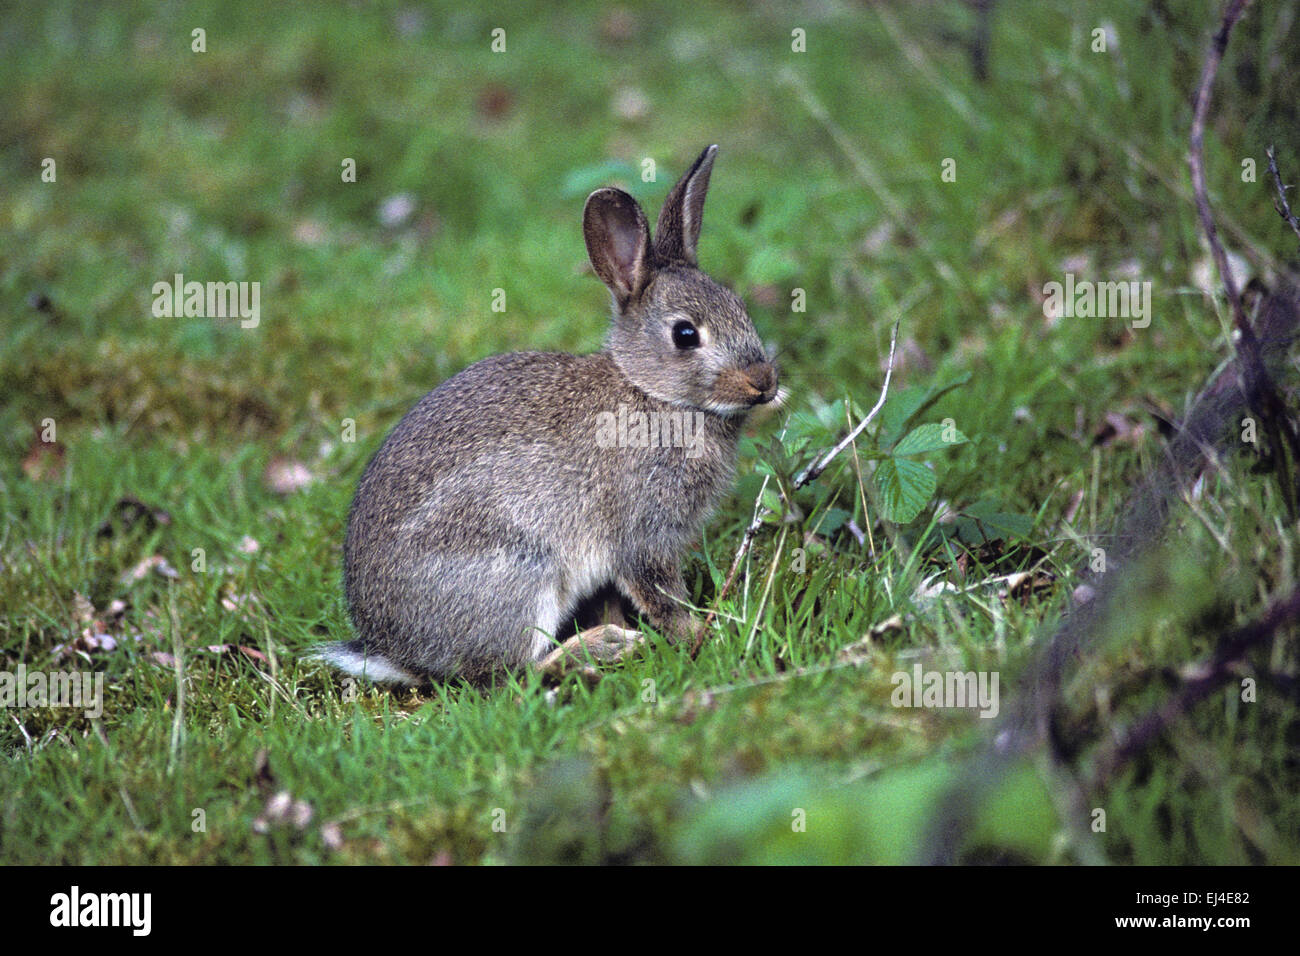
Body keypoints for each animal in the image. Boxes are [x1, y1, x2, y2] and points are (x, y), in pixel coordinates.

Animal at [319, 144, 779, 684]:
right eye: (686, 335)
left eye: (738, 304)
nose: (763, 381)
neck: (652, 393)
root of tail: (398, 652)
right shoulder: (643, 531)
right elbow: (661, 596)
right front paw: (704, 636)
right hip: (521, 570)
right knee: (515, 672)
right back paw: (605, 648)